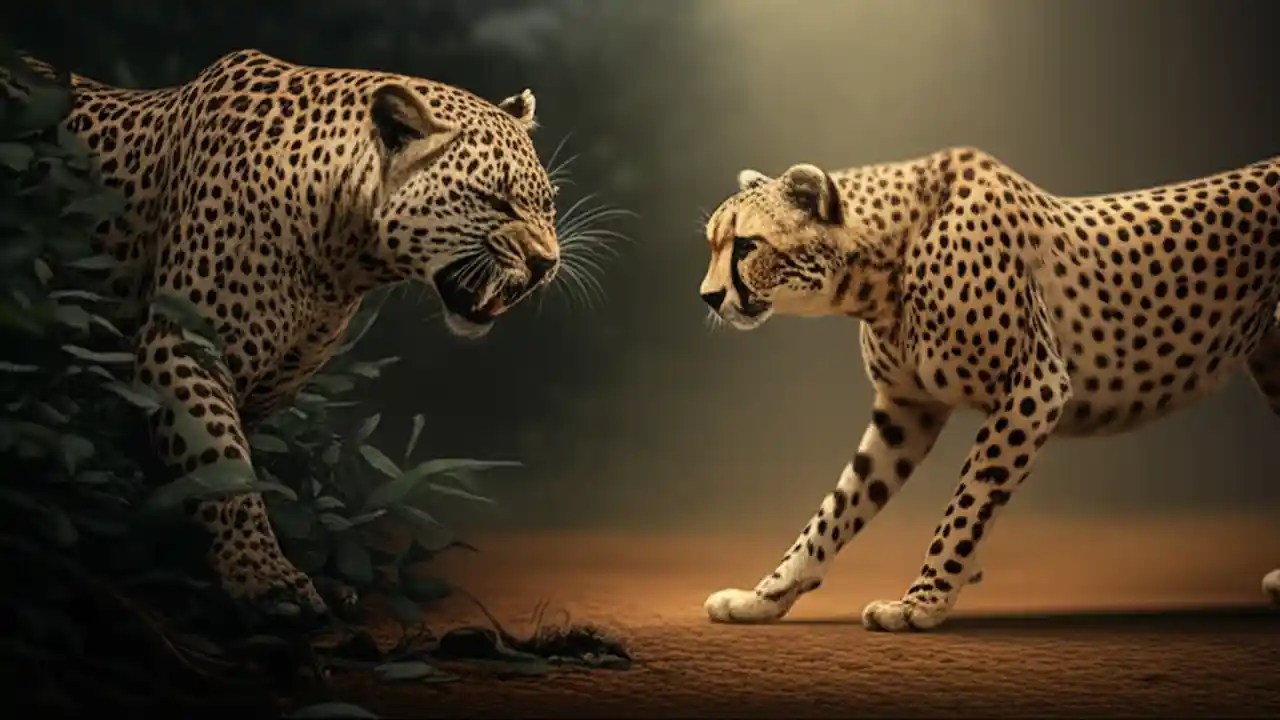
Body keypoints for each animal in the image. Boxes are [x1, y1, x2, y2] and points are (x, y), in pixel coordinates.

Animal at [8, 48, 563, 619]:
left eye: (548, 204)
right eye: (495, 201)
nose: (547, 263)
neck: (340, 258)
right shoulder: (182, 345)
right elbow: (221, 461)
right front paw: (263, 576)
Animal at [697, 146, 1280, 631]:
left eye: (747, 245)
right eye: (713, 245)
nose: (707, 296)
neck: (887, 266)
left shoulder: (1033, 389)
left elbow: (968, 503)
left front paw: (922, 603)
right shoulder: (905, 410)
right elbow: (838, 506)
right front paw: (764, 596)